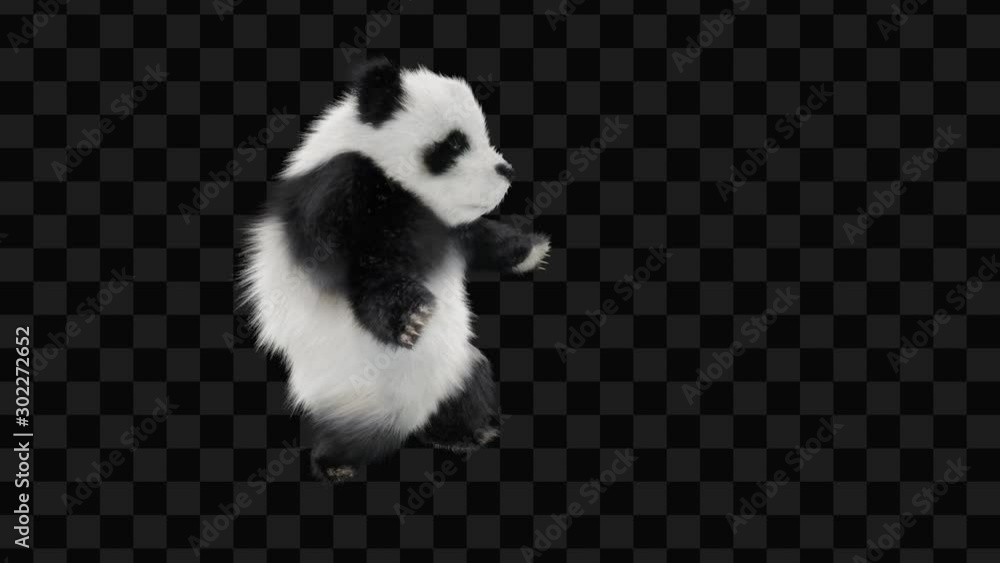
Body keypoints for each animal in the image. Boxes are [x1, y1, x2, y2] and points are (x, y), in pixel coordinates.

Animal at [240, 58, 551, 482]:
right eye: (455, 144)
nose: (507, 171)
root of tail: (407, 421)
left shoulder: (443, 223)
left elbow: (476, 235)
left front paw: (528, 249)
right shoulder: (339, 190)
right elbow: (359, 271)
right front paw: (412, 317)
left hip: (454, 366)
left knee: (468, 386)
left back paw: (467, 432)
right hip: (347, 394)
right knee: (347, 433)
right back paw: (339, 463)